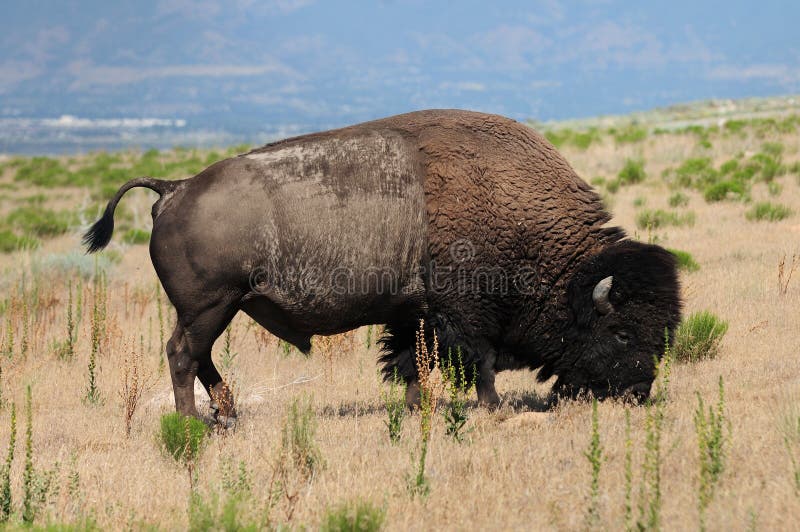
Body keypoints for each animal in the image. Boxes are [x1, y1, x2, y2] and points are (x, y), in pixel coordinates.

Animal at [84, 109, 681, 423]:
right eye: (622, 332)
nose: (639, 392)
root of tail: (175, 188)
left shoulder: (412, 313)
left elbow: (410, 361)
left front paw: (415, 409)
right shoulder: (464, 313)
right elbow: (480, 362)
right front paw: (492, 409)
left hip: (219, 308)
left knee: (200, 357)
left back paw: (227, 413)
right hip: (210, 305)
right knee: (184, 355)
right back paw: (194, 424)